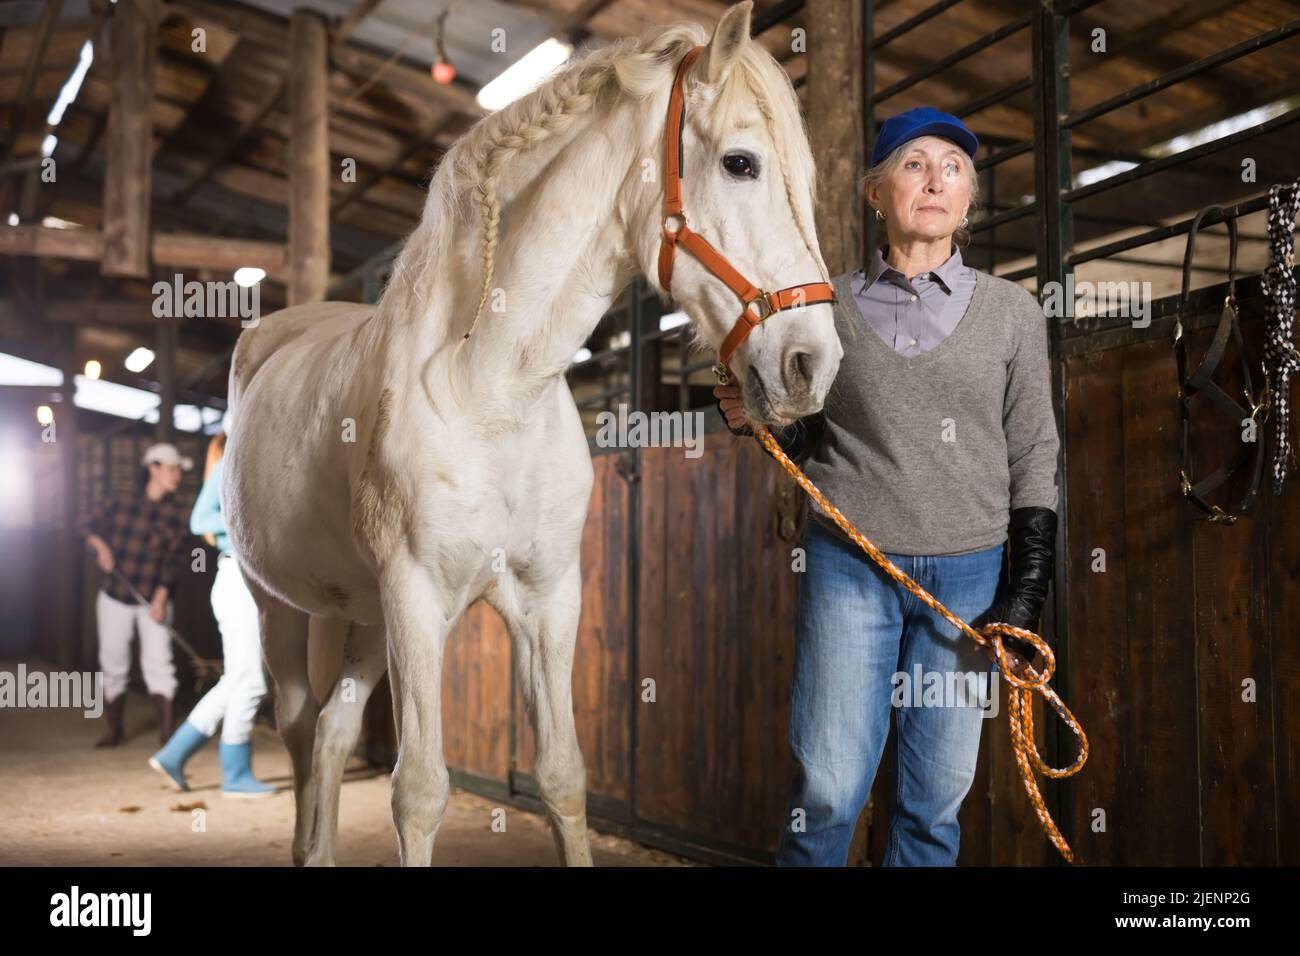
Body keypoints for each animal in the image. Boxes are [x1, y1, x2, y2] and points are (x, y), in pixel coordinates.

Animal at [222, 0, 842, 867]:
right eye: (741, 163)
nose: (812, 363)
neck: (489, 392)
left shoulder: (546, 599)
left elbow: (561, 776)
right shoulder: (415, 598)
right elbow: (419, 790)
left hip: (365, 618)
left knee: (336, 729)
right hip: (281, 607)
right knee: (301, 728)